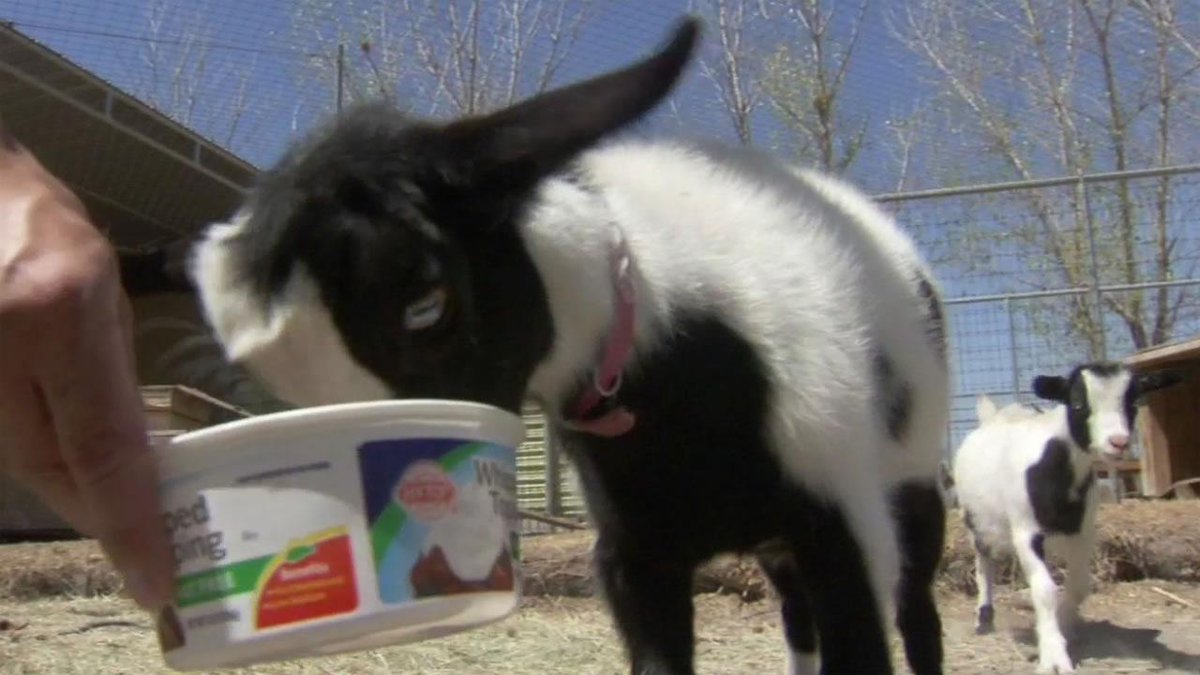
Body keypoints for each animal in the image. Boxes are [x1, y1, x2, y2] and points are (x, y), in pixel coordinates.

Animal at [184, 18, 950, 675]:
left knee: (919, 617)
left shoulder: (842, 525)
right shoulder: (635, 557)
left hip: (908, 485)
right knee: (796, 620)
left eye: (425, 303)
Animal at [953, 362, 1183, 674]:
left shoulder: (1083, 533)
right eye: (1077, 403)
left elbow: (1079, 586)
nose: (1118, 442)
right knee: (983, 565)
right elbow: (1044, 590)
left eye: (1133, 402)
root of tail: (993, 417)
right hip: (975, 521)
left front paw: (1063, 627)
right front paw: (1053, 657)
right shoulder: (1026, 531)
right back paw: (984, 620)